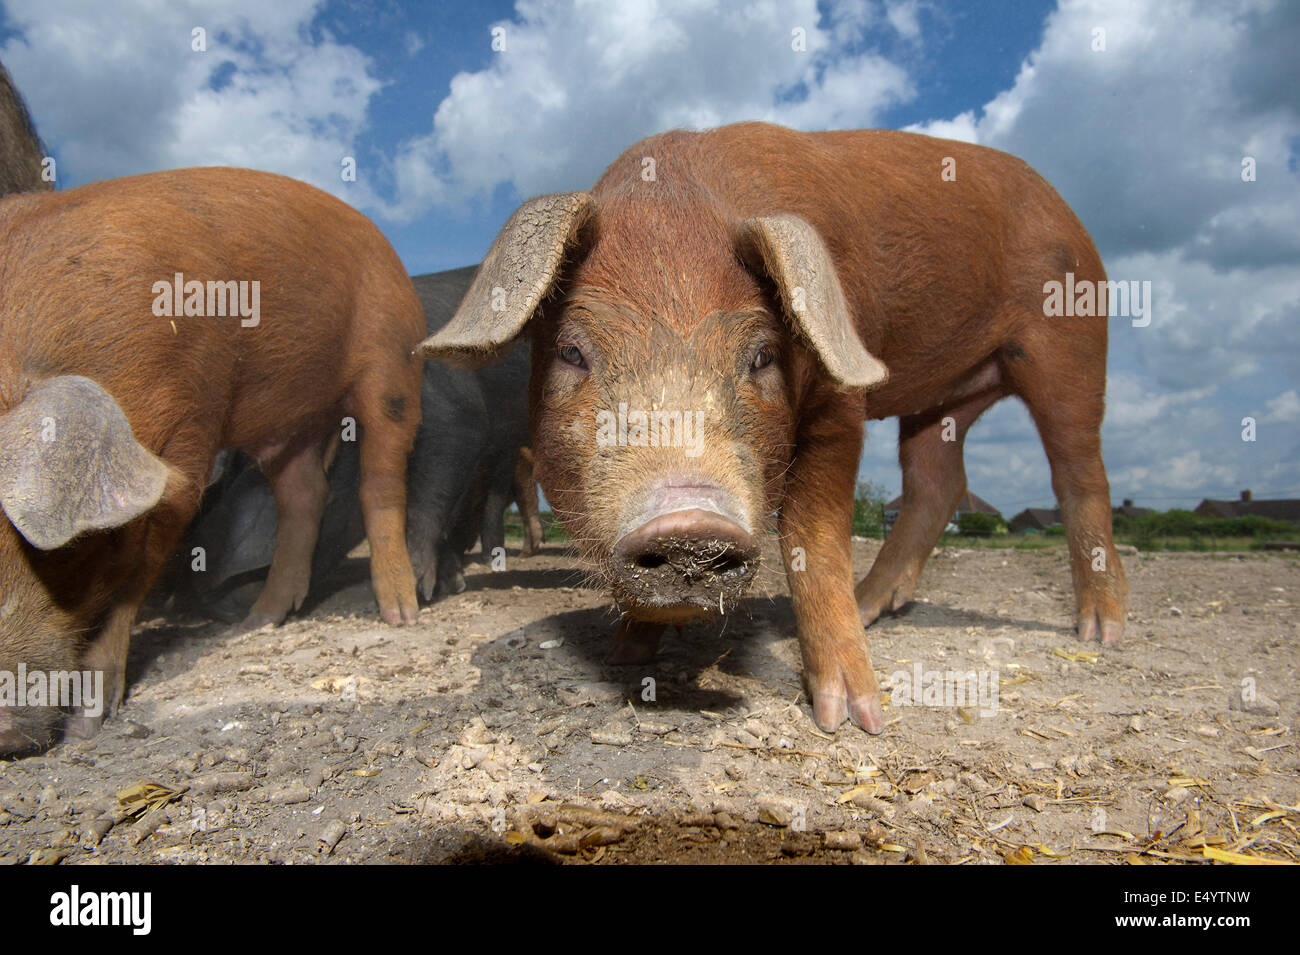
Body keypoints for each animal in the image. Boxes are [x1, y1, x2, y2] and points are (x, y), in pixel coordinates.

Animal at [0, 167, 423, 753]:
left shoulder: (186, 430)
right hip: (287, 421)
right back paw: (257, 622)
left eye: (61, 552)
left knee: (381, 479)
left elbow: (135, 574)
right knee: (304, 494)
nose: (4, 732)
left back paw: (400, 614)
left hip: (392, 357)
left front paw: (86, 726)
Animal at [421, 122, 1129, 735]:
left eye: (762, 354)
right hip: (943, 401)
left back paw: (1100, 631)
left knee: (1079, 469)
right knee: (938, 481)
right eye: (571, 351)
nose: (688, 522)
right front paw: (626, 654)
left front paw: (851, 719)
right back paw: (876, 606)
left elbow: (814, 539)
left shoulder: (840, 402)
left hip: (1072, 339)